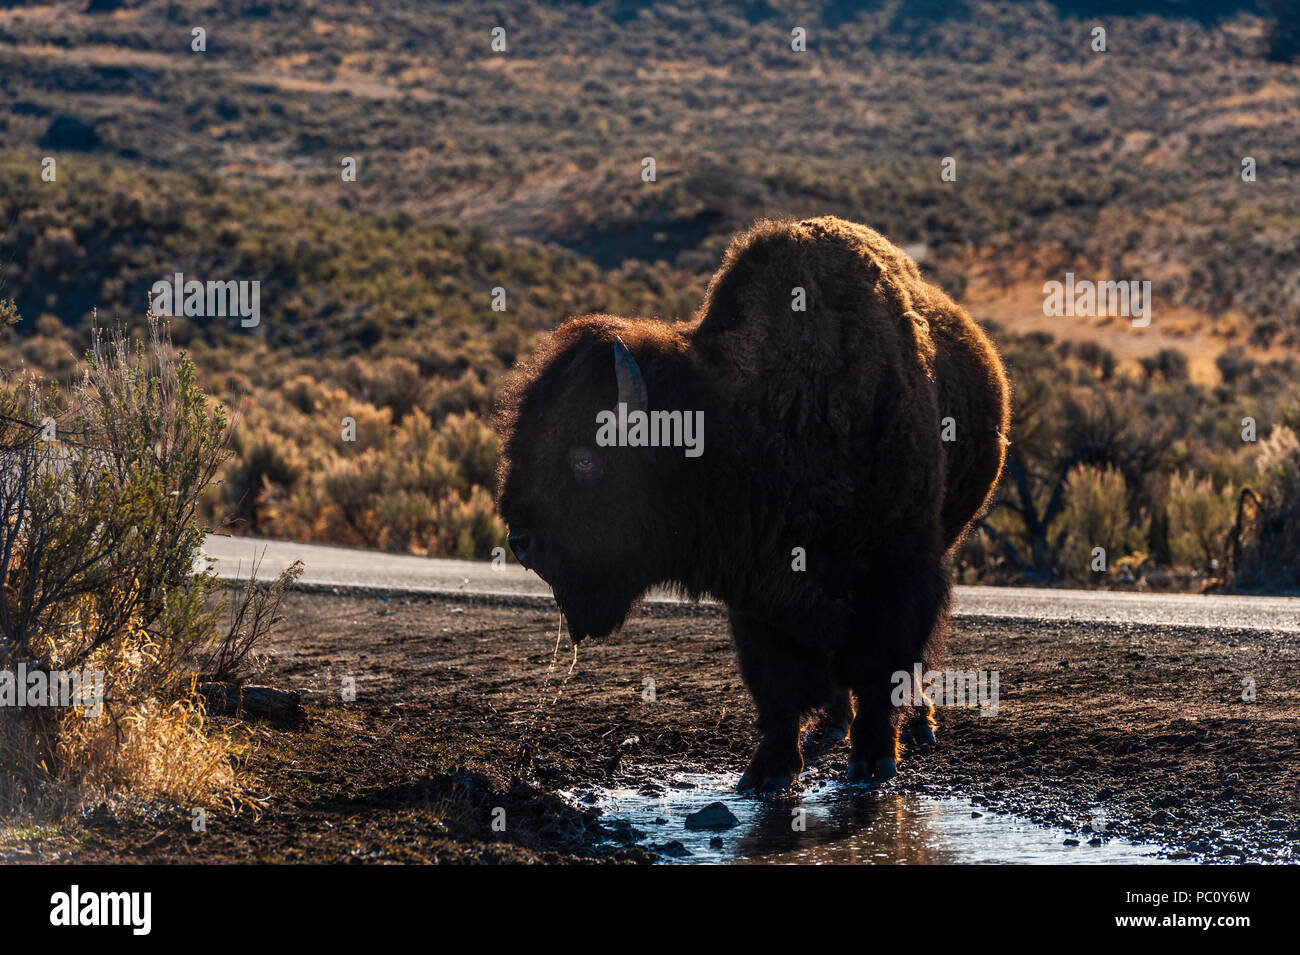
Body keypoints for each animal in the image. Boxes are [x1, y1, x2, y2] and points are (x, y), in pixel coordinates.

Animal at [496, 216, 1011, 791]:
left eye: (585, 459)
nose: (521, 542)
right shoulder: (758, 591)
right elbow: (777, 683)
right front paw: (767, 771)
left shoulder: (895, 572)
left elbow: (881, 665)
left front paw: (873, 761)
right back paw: (830, 727)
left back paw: (917, 727)